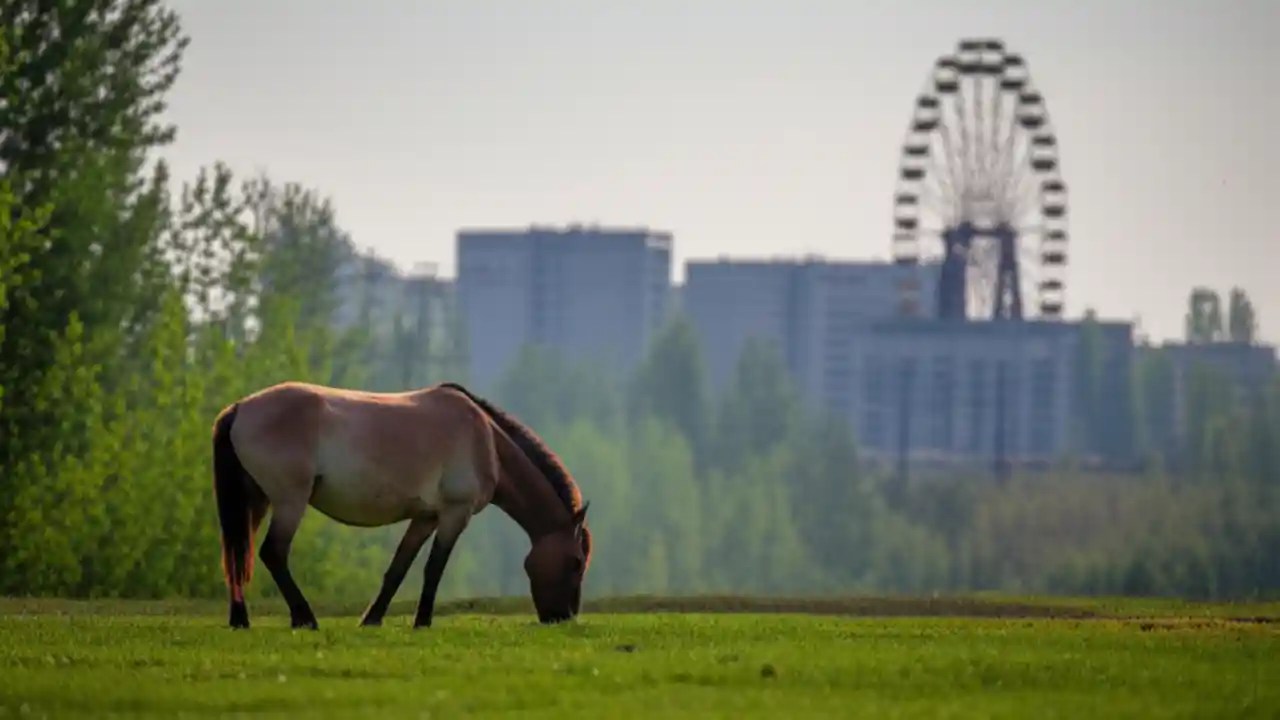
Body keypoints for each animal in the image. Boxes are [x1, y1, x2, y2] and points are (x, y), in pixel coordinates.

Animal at [210, 380, 592, 630]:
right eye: (575, 562)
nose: (563, 617)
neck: (486, 441)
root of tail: (240, 408)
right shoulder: (455, 514)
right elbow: (434, 568)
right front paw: (422, 621)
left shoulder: (425, 517)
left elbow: (399, 568)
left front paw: (372, 619)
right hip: (290, 501)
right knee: (273, 553)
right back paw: (304, 618)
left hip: (257, 501)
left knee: (237, 556)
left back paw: (240, 619)